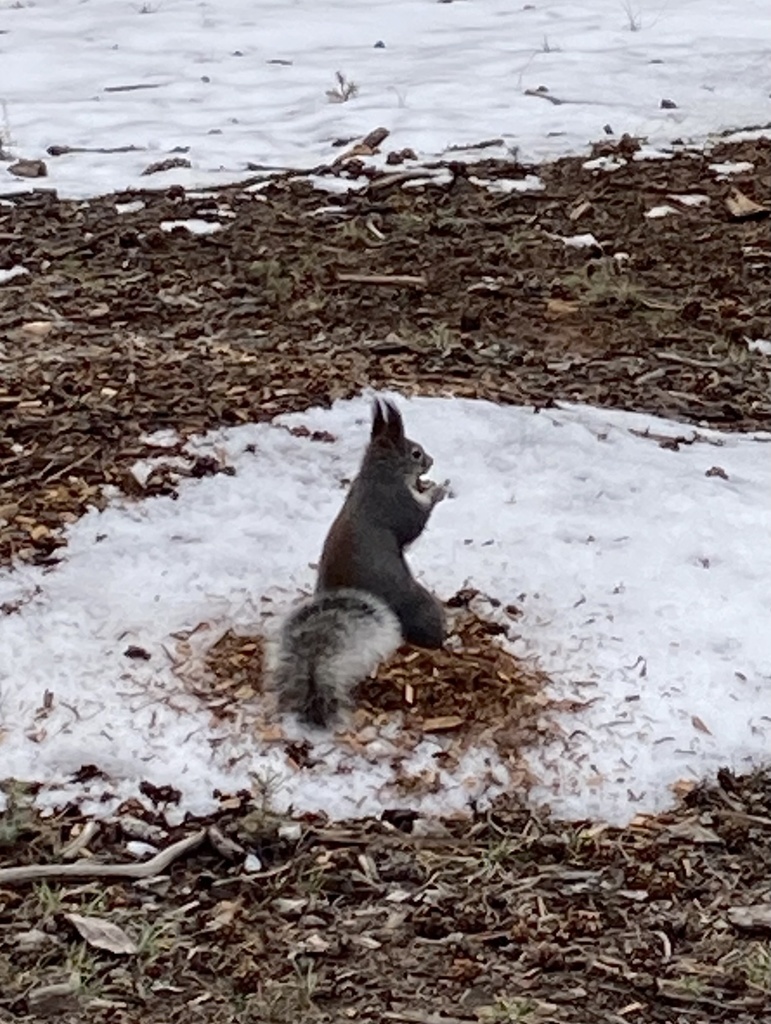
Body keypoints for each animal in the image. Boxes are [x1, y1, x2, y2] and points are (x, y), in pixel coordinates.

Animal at [273, 397, 448, 728]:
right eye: (415, 453)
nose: (431, 461)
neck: (379, 473)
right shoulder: (394, 503)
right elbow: (413, 524)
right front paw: (438, 489)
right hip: (422, 608)